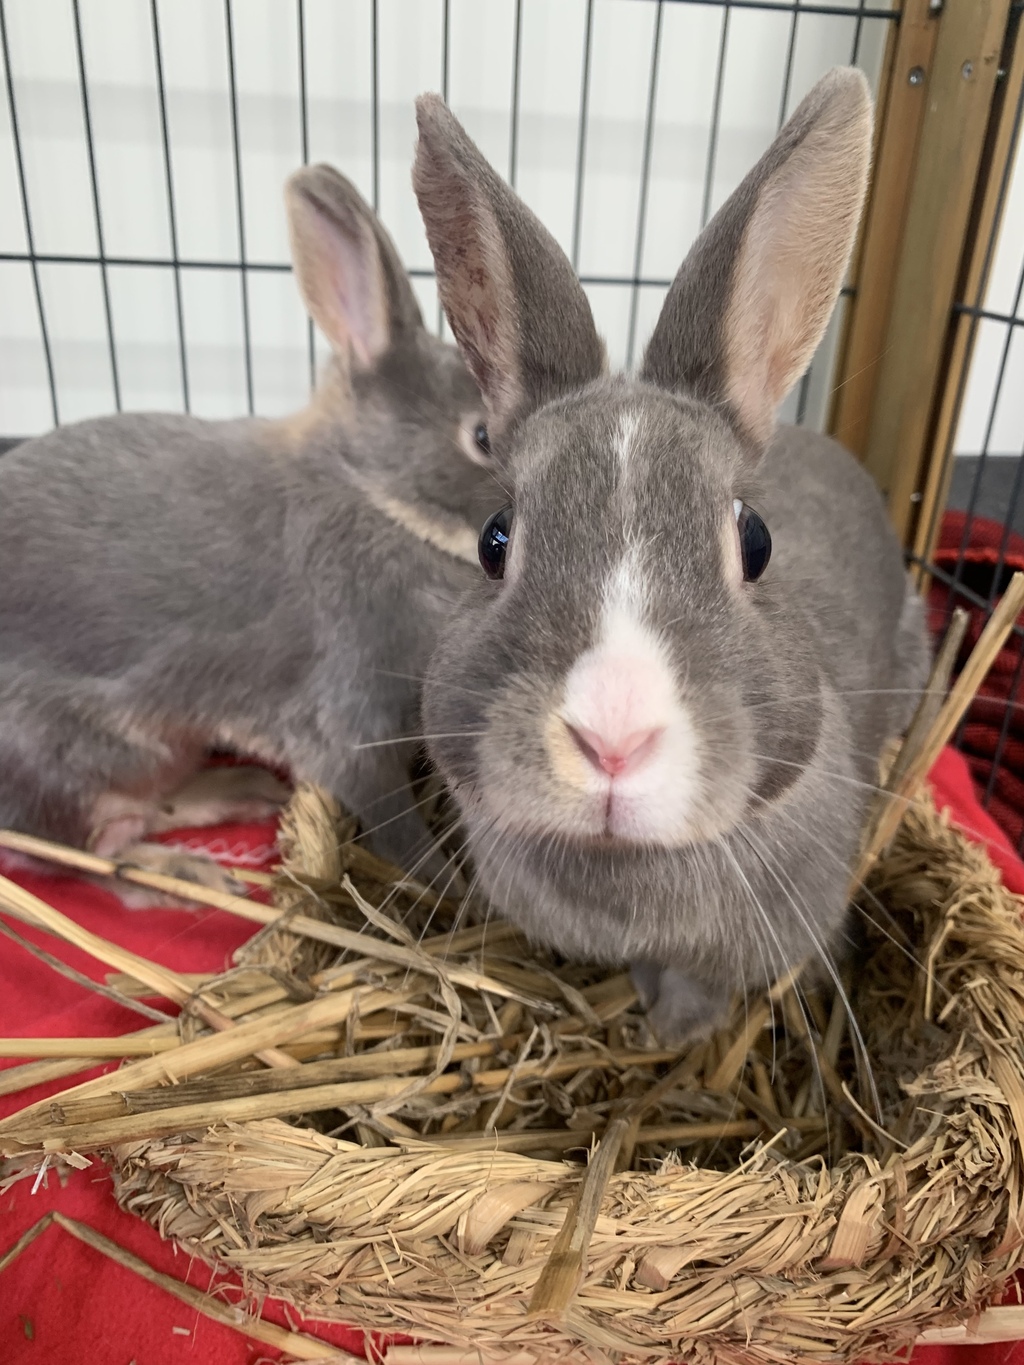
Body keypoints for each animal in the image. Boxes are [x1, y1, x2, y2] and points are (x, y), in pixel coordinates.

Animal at [0, 163, 503, 892]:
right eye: (485, 436)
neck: (378, 497)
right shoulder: (346, 717)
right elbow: (392, 819)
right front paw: (445, 883)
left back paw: (238, 792)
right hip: (70, 766)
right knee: (84, 853)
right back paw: (192, 871)